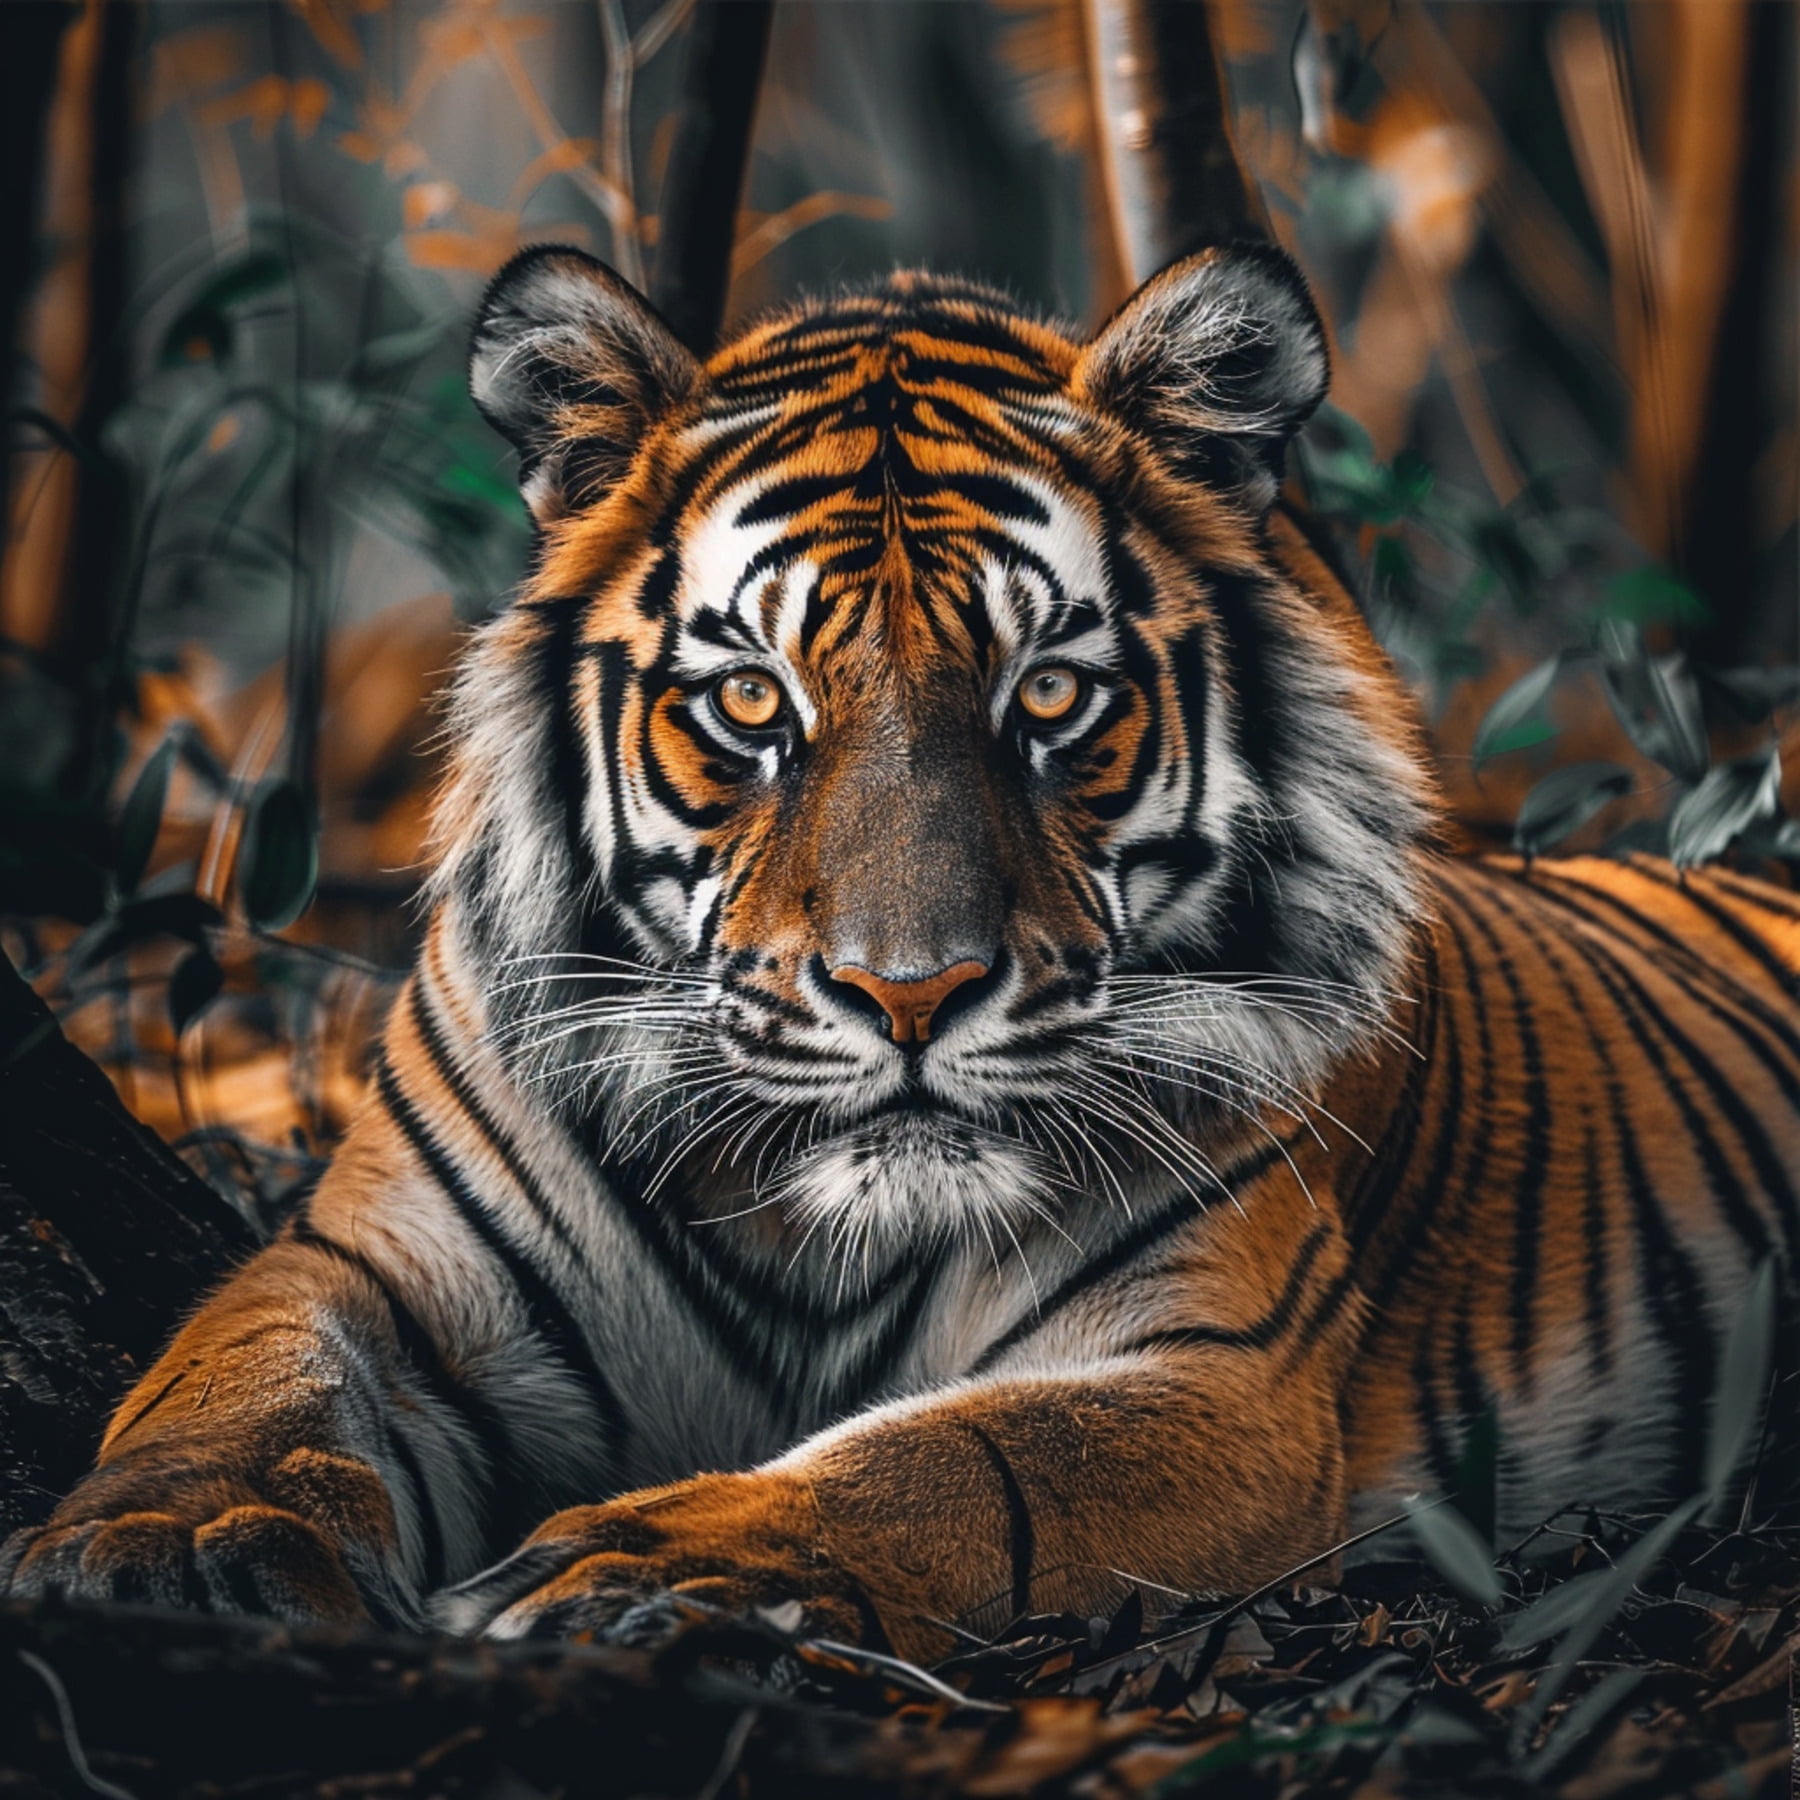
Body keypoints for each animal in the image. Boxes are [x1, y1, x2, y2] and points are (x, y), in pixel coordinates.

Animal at [6, 243, 1798, 1661]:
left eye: (1051, 694)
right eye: (751, 701)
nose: (909, 994)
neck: (811, 1234)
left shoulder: (1210, 1379)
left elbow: (934, 1468)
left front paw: (639, 1566)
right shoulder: (366, 1268)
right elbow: (241, 1382)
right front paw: (166, 1540)